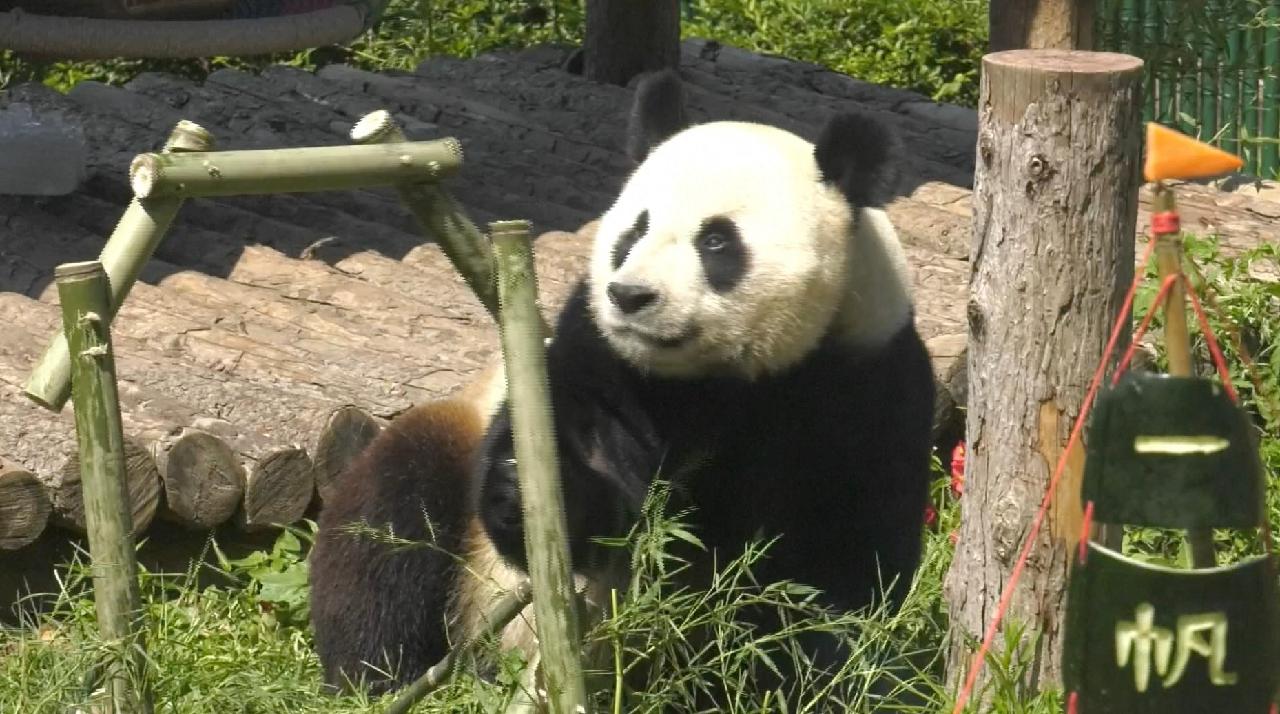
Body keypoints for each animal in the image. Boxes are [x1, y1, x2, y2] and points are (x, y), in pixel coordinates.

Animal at [308, 68, 936, 700]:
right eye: (635, 230)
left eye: (716, 241)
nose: (631, 296)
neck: (722, 378)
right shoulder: (599, 352)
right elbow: (589, 493)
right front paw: (542, 491)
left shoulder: (865, 378)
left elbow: (843, 553)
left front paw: (800, 666)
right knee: (388, 527)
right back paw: (380, 679)